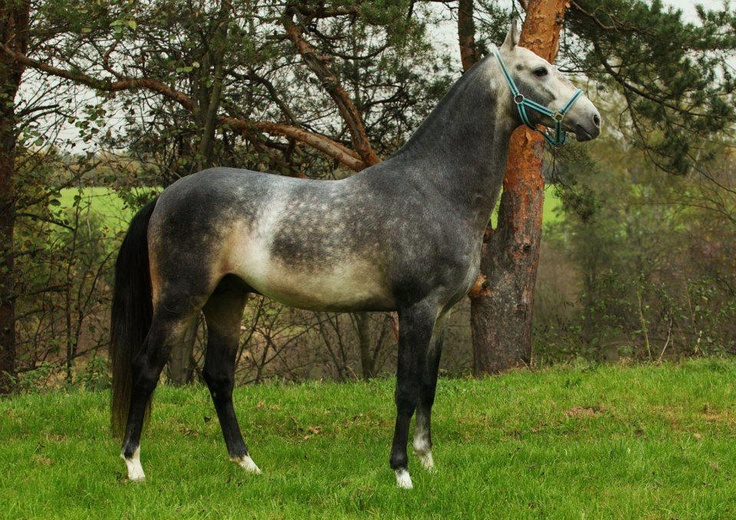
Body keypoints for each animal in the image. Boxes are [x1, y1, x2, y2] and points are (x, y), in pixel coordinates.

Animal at [110, 20, 601, 489]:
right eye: (539, 70)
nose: (593, 119)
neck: (436, 189)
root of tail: (165, 195)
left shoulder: (441, 314)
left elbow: (428, 388)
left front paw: (428, 463)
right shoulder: (416, 309)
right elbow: (405, 390)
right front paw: (401, 472)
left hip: (227, 298)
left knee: (219, 377)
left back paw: (247, 464)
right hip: (180, 300)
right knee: (147, 367)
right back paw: (133, 465)